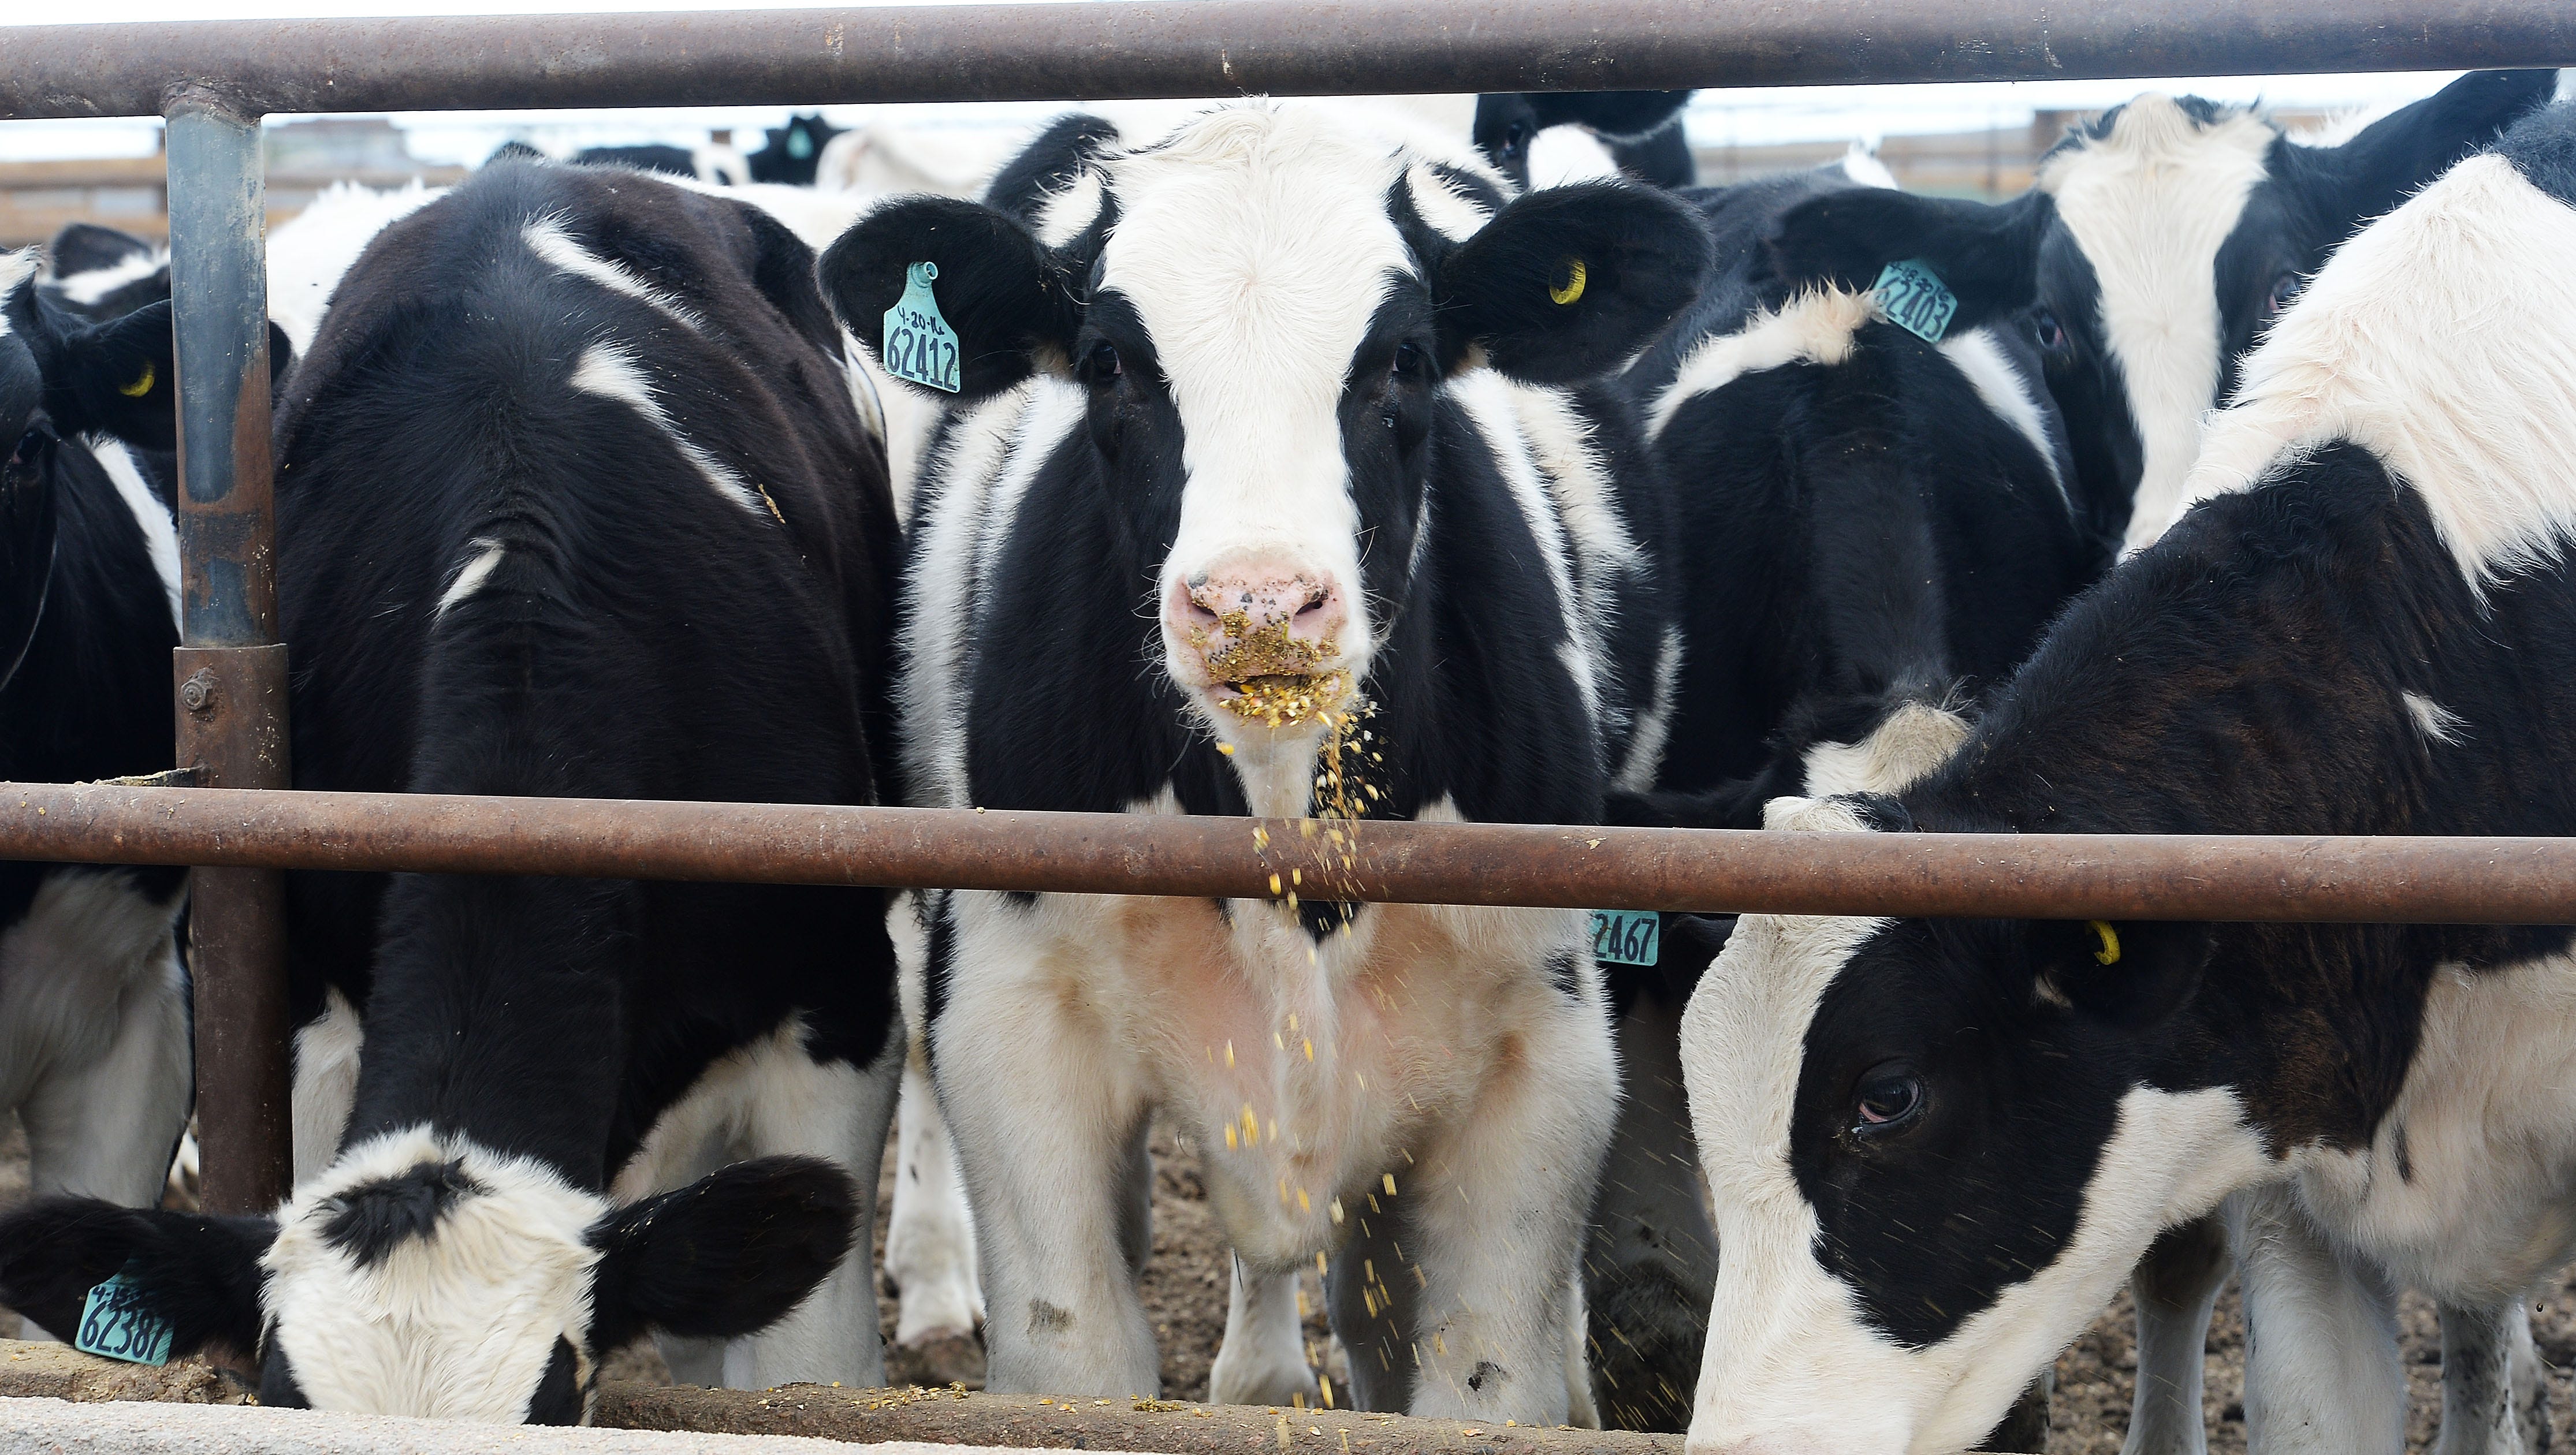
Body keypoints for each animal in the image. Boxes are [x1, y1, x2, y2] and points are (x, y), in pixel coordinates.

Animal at [816, 99, 1710, 1423]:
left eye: (1406, 357)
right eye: (1108, 363)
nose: (1258, 605)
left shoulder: (1539, 1056)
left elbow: (1485, 1381)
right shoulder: (1012, 1023)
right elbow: (1072, 1360)